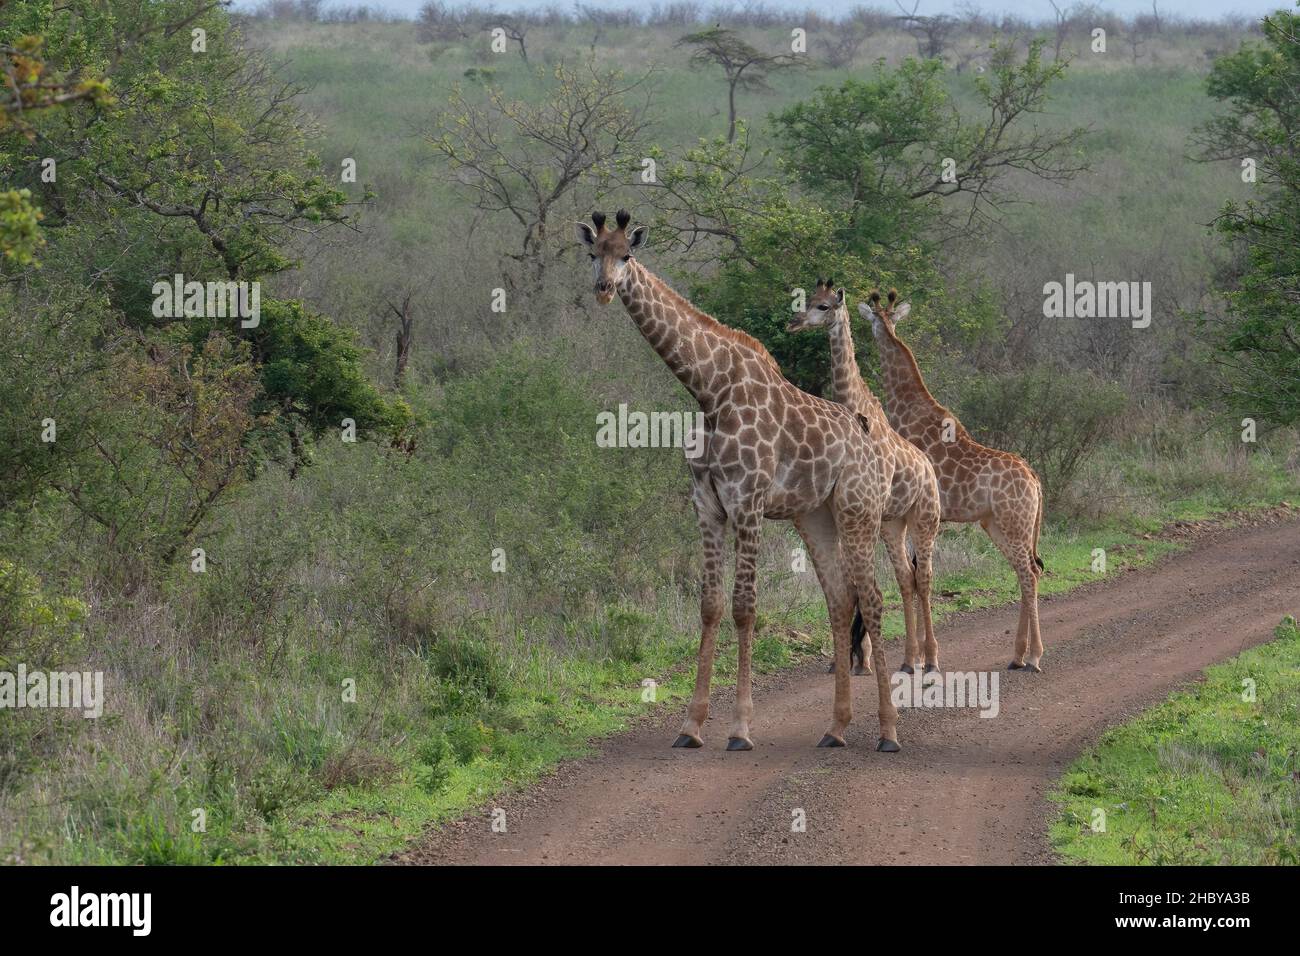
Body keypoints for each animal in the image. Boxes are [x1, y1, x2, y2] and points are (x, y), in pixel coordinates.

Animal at [576, 209, 900, 751]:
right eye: (592, 252)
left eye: (627, 254)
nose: (603, 288)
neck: (710, 391)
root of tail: (871, 440)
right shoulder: (707, 506)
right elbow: (709, 605)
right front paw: (691, 726)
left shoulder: (747, 503)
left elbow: (744, 607)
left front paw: (741, 729)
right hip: (816, 517)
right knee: (840, 600)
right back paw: (835, 729)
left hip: (860, 510)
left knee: (872, 600)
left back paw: (889, 732)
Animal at [788, 280, 941, 676]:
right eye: (809, 300)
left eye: (824, 306)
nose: (794, 322)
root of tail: (930, 470)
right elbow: (850, 582)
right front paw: (844, 658)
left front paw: (862, 657)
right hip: (895, 523)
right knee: (907, 578)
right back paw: (910, 659)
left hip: (925, 519)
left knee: (924, 578)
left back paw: (931, 659)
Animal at [863, 290, 1047, 671]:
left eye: (873, 320)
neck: (907, 405)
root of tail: (1036, 480)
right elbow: (916, 575)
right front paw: (919, 655)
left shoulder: (918, 513)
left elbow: (917, 577)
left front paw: (920, 657)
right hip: (997, 524)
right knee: (1028, 571)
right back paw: (1017, 656)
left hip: (1015, 522)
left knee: (1029, 572)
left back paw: (1034, 656)